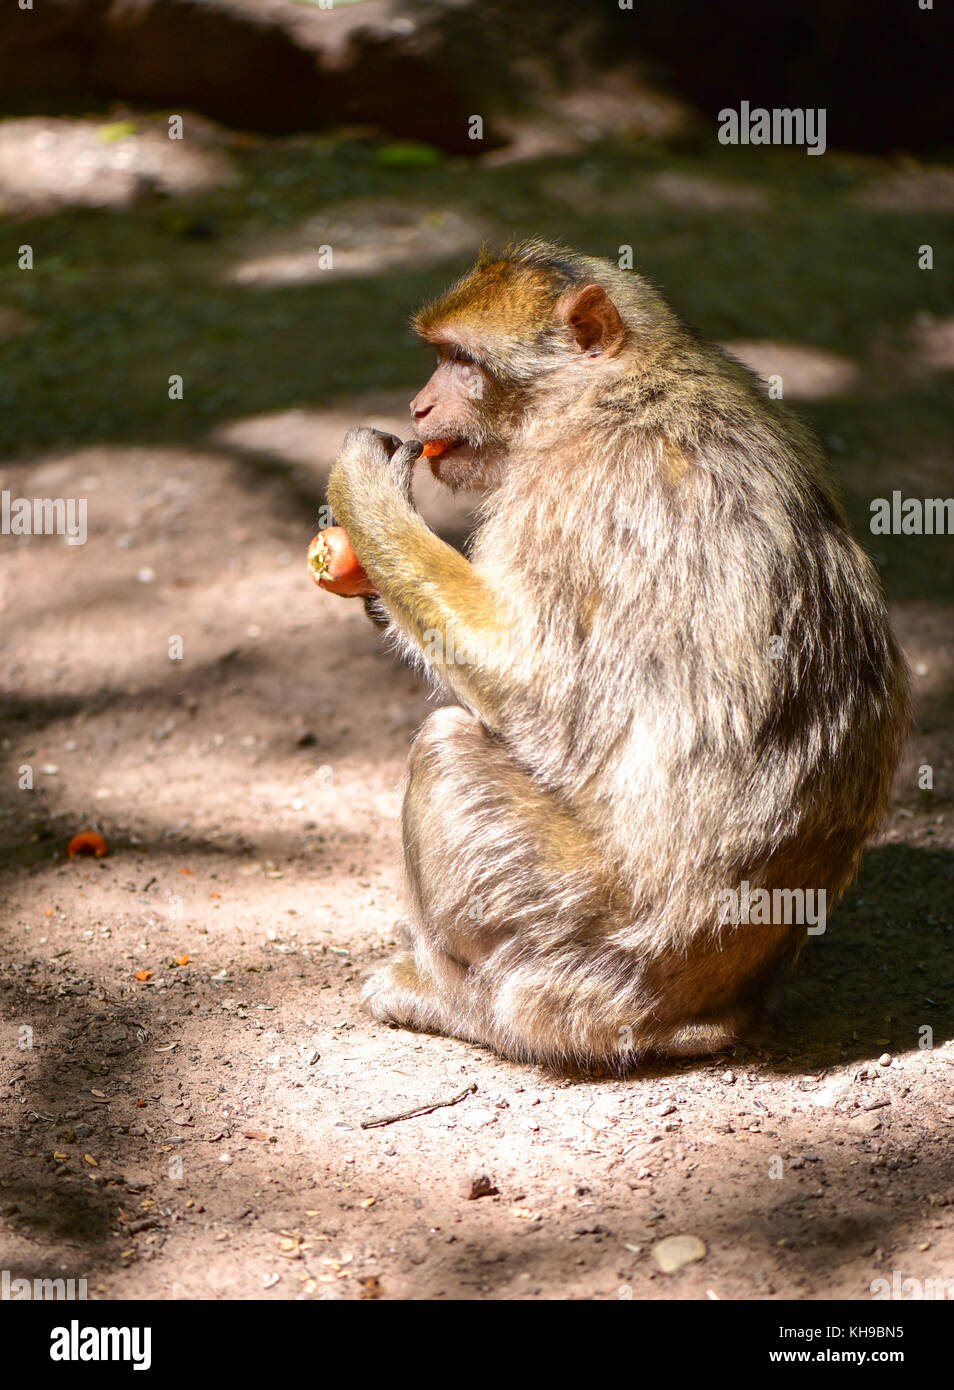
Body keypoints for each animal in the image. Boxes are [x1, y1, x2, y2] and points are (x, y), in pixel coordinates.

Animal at [325, 240, 910, 1072]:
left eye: (460, 360)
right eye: (437, 356)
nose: (418, 408)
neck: (624, 384)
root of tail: (700, 1012)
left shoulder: (567, 492)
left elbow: (541, 696)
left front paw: (365, 489)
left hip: (576, 937)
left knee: (445, 747)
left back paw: (454, 998)